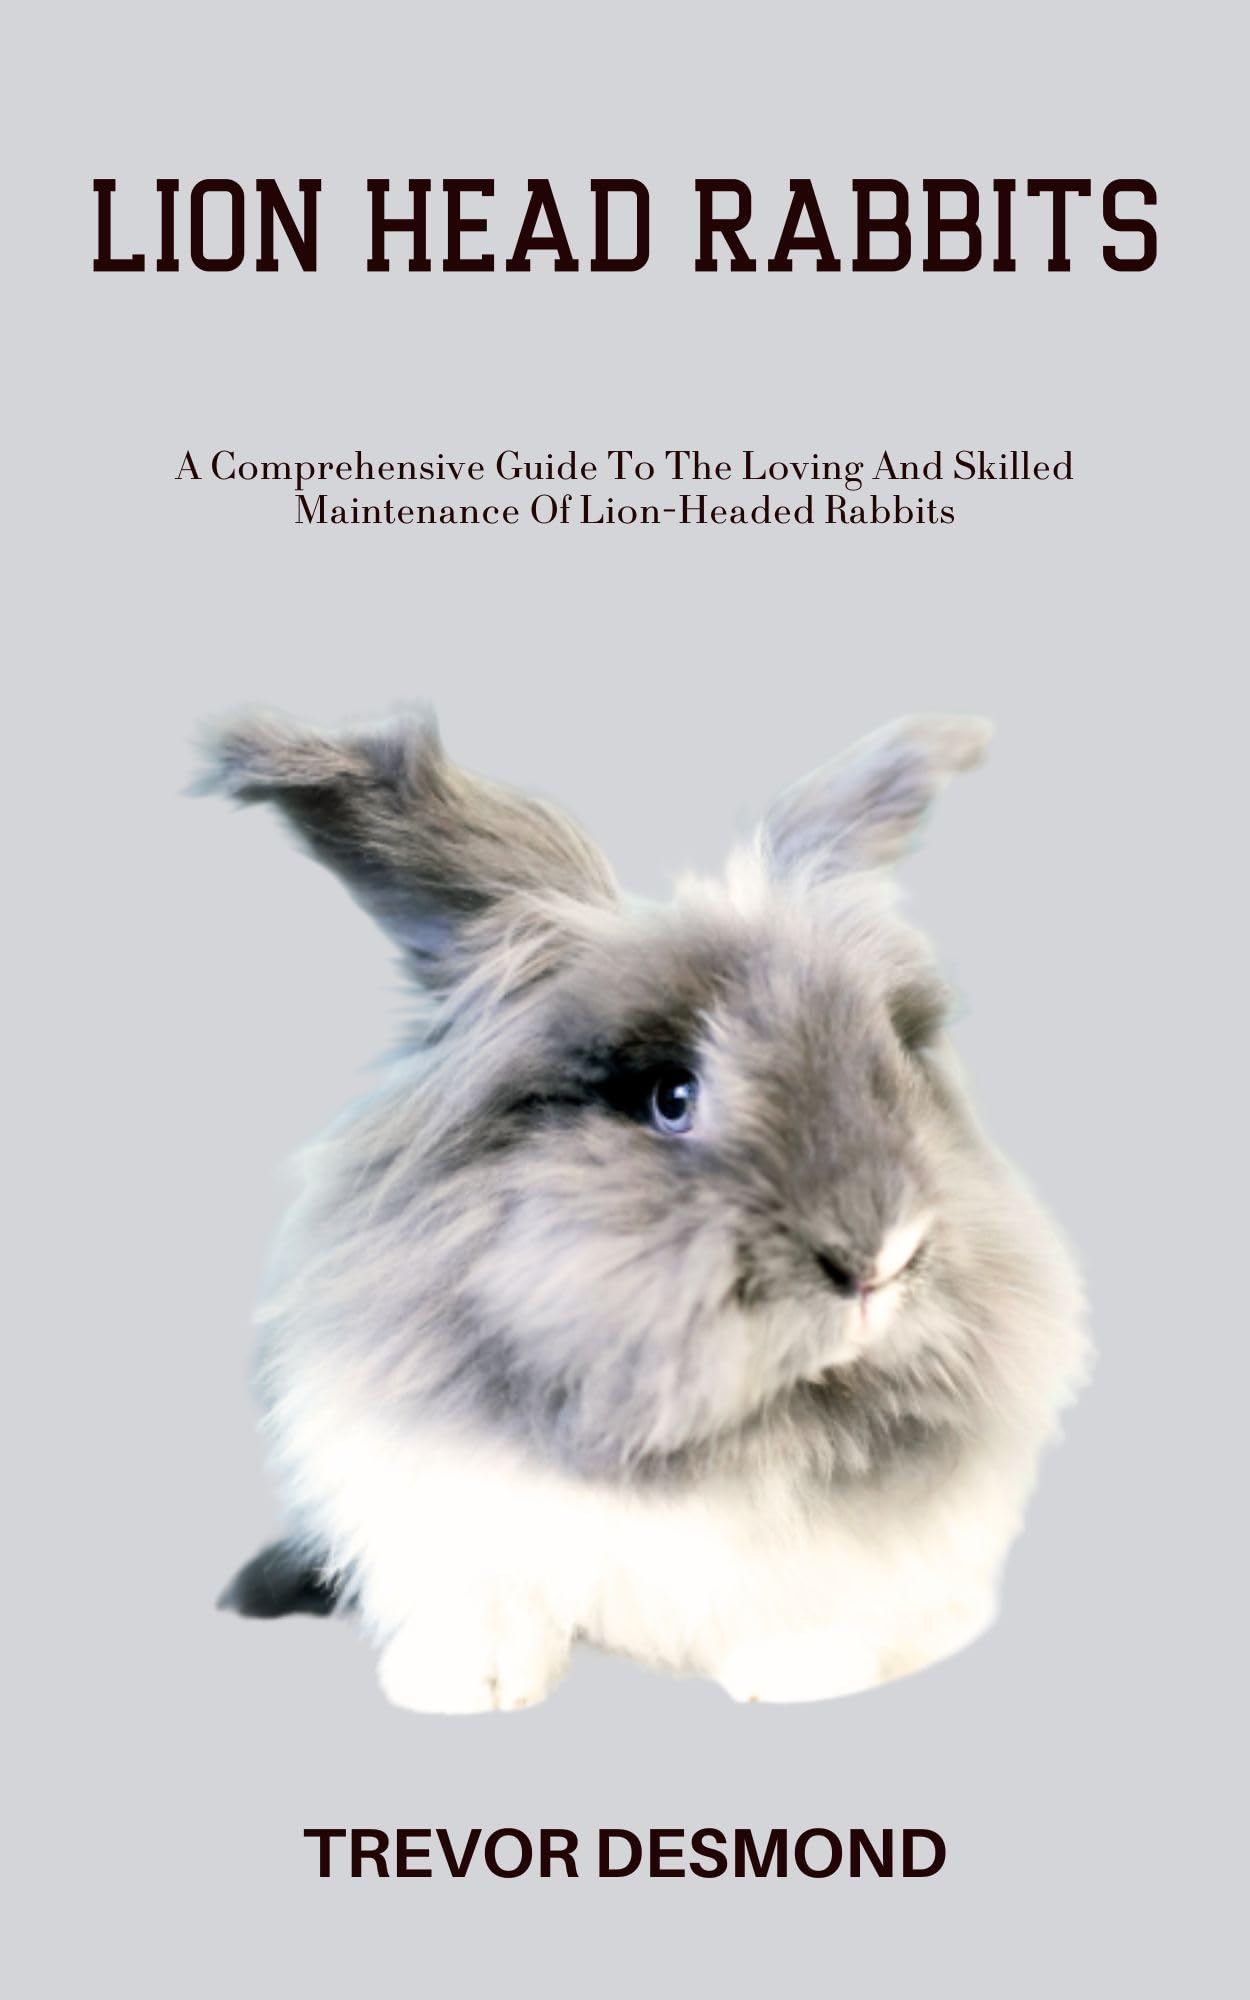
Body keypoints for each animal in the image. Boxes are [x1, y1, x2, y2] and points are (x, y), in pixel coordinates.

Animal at [201, 707, 1088, 1711]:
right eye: (669, 1096)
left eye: (896, 1061)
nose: (880, 1257)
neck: (685, 1443)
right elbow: (488, 1598)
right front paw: (470, 1682)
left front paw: (793, 1677)